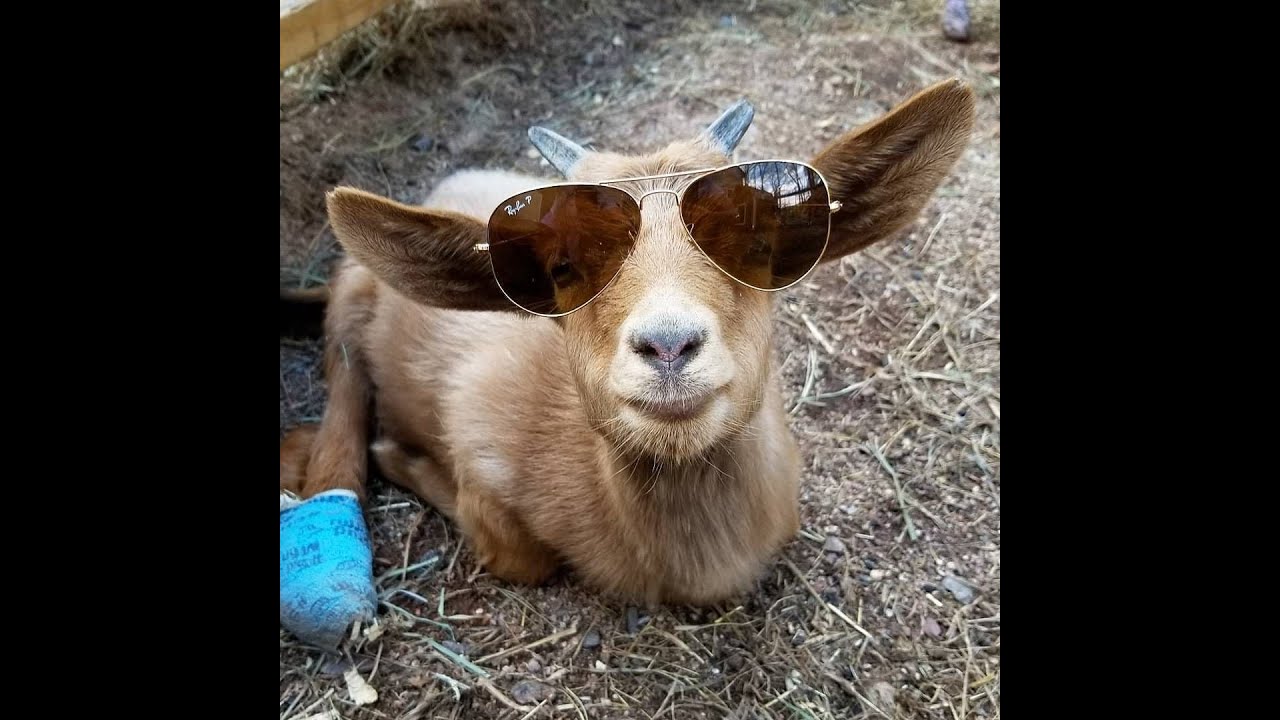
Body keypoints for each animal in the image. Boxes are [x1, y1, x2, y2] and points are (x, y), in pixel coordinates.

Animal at [280, 79, 976, 607]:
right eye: (560, 269)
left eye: (760, 245)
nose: (668, 346)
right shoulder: (481, 451)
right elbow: (520, 555)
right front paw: (404, 459)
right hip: (349, 298)